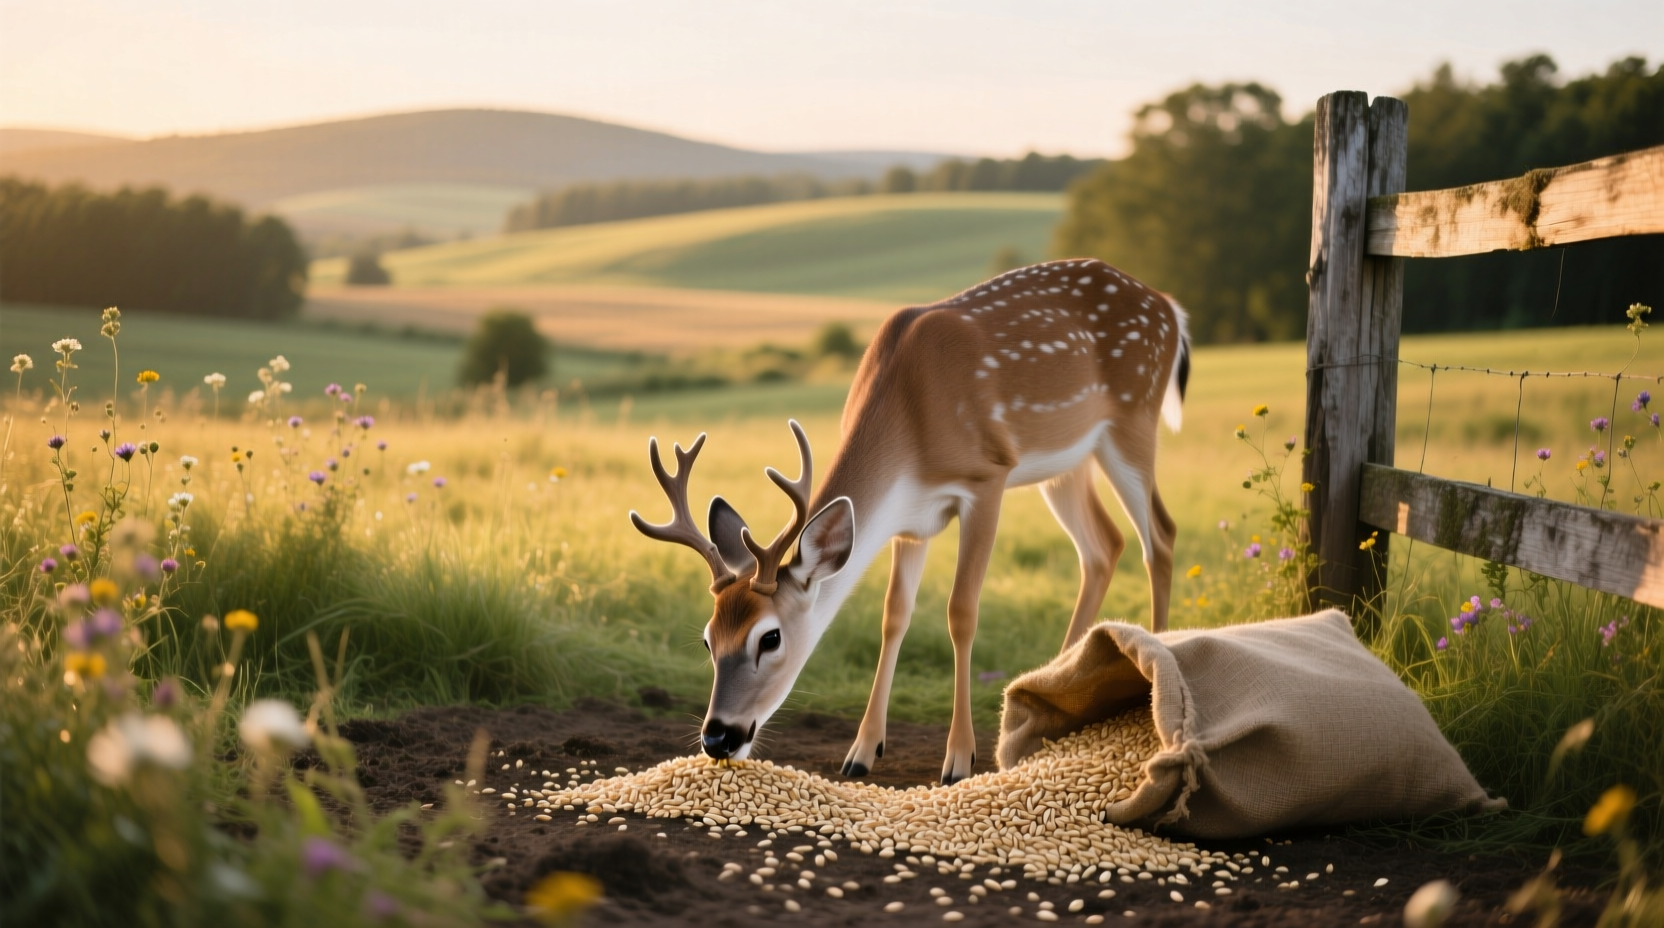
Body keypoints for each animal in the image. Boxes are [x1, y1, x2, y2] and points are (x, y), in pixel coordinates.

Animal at [630, 258, 1190, 785]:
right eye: (708, 640)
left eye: (770, 638)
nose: (718, 736)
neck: (911, 427)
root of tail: (1169, 307)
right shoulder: (911, 519)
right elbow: (894, 614)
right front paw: (861, 753)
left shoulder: (987, 476)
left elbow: (961, 610)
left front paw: (958, 759)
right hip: (1066, 464)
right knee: (1104, 546)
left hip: (1133, 419)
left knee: (1159, 535)